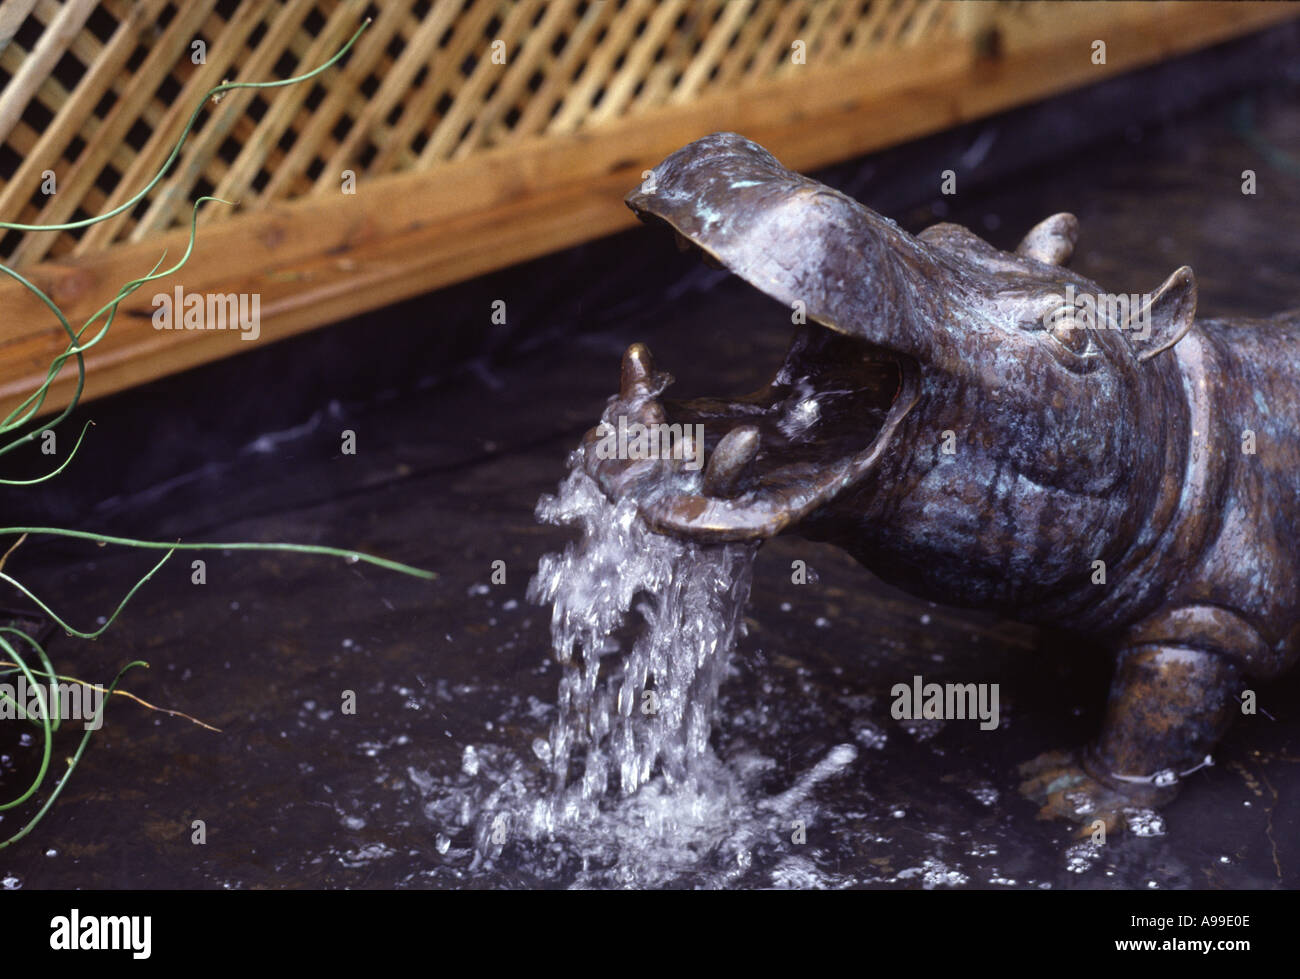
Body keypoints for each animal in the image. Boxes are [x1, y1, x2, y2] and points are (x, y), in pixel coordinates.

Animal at [581, 131, 1300, 833]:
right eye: (945, 233)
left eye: (1074, 336)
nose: (755, 173)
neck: (1181, 422)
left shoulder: (1210, 614)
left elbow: (1162, 706)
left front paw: (1074, 796)